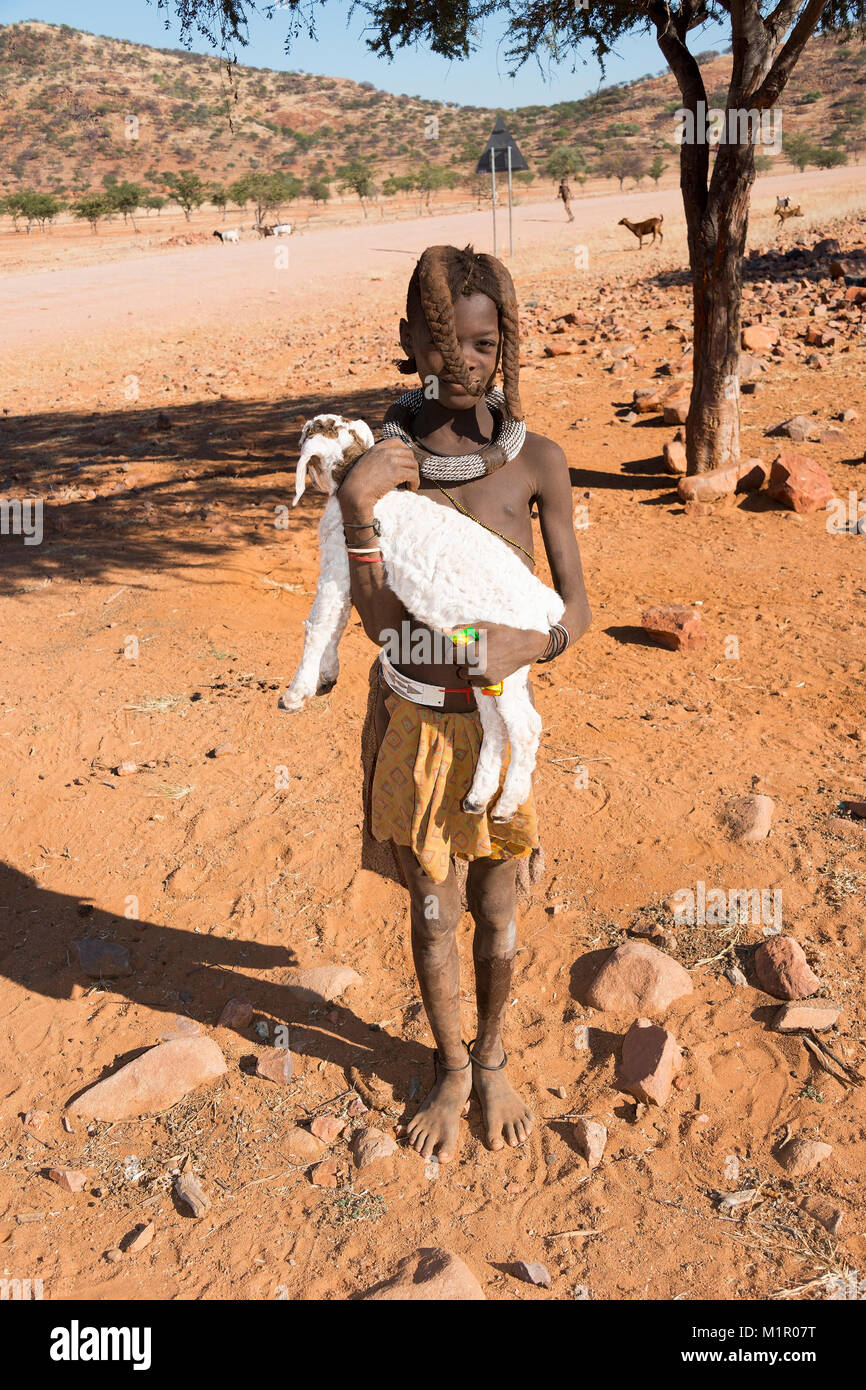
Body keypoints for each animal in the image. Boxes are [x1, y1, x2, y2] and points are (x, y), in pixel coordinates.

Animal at [279, 414, 566, 823]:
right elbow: (337, 619)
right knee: (495, 724)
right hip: (486, 664)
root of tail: (546, 605)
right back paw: (477, 797)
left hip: (508, 657)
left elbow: (320, 621)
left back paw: (506, 804)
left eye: (309, 433)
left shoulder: (336, 556)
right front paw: (326, 673)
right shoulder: (345, 566)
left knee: (525, 726)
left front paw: (295, 692)